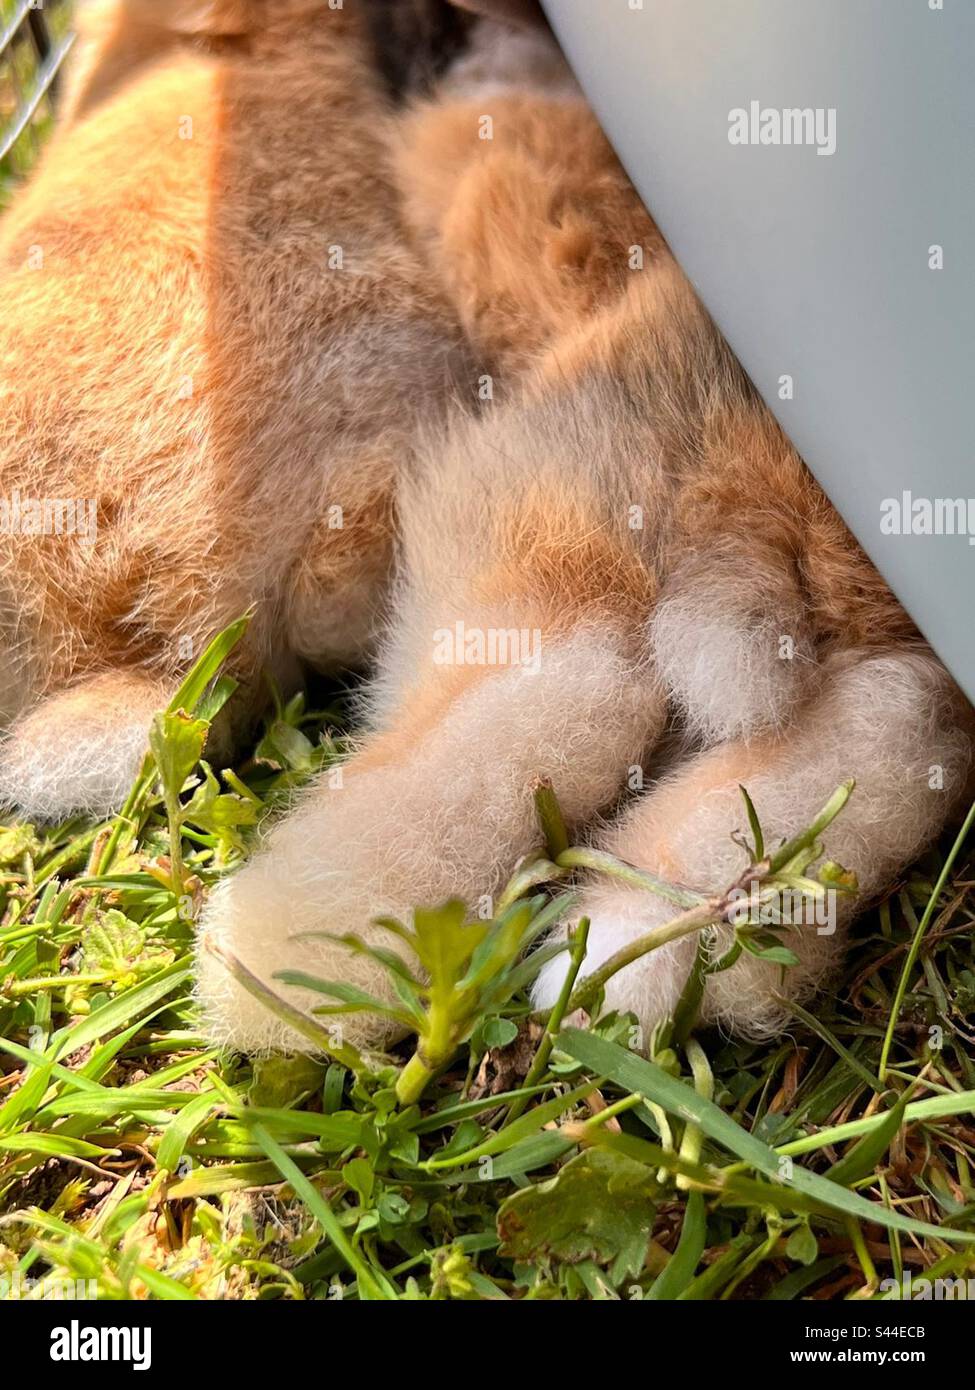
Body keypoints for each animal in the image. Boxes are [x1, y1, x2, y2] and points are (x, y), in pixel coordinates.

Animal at [195, 8, 975, 1053]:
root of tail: (754, 478)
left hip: (510, 527)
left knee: (568, 680)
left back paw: (281, 964)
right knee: (899, 719)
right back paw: (673, 938)